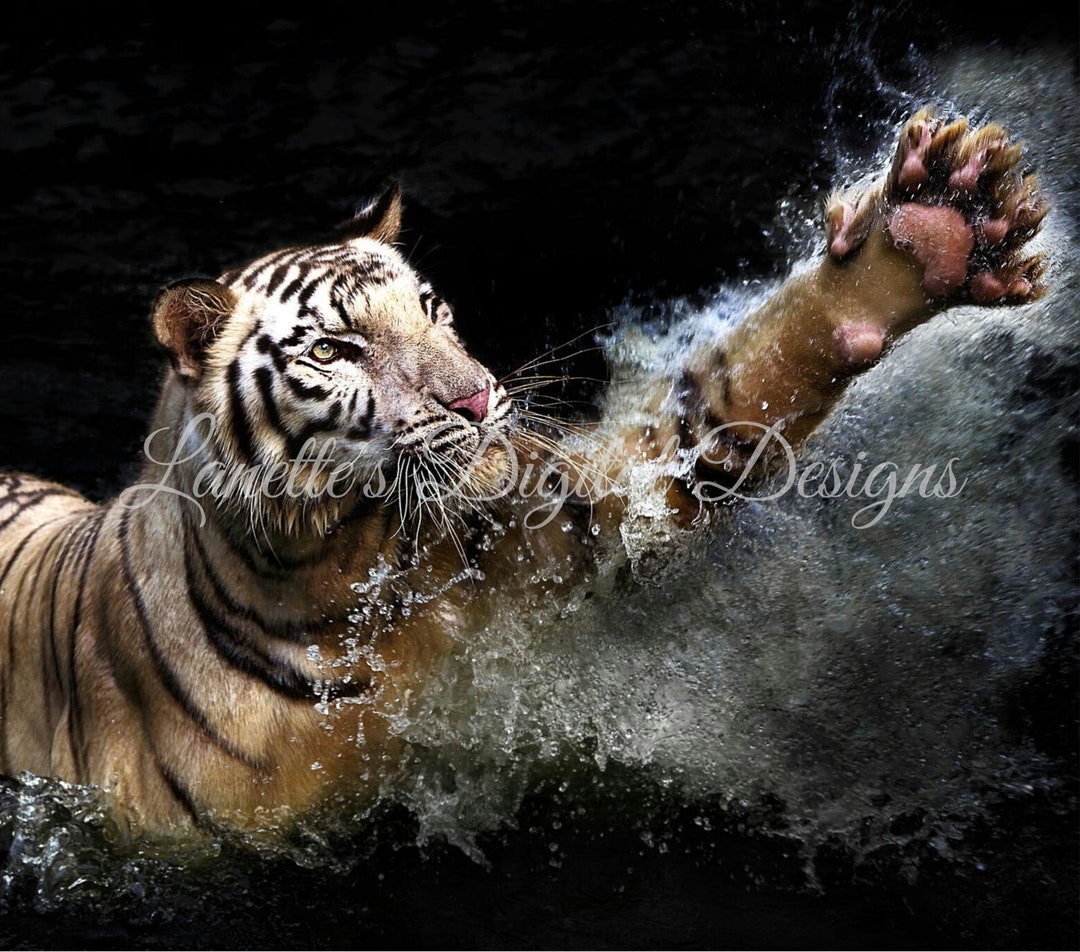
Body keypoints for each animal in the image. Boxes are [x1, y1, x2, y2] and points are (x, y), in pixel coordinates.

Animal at [0, 110, 1048, 840]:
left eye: (430, 307)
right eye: (336, 348)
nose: (476, 399)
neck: (354, 569)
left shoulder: (577, 515)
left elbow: (714, 410)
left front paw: (933, 230)